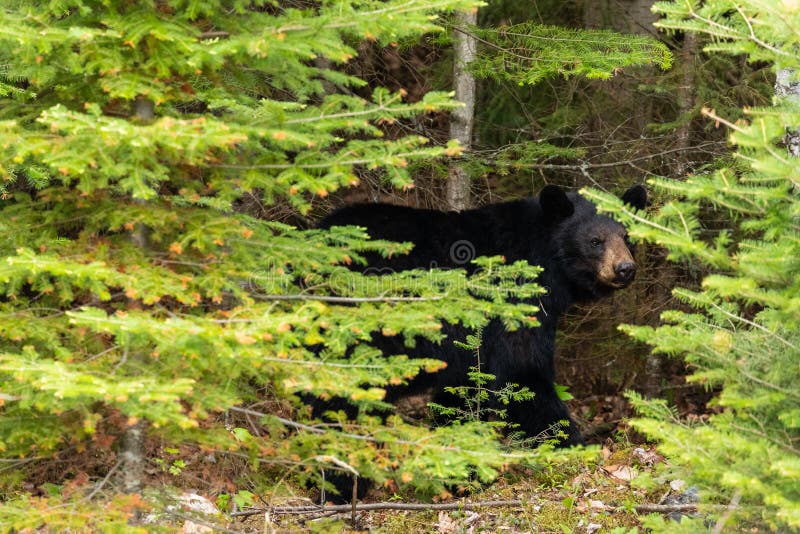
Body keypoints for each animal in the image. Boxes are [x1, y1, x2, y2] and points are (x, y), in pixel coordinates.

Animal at [318, 184, 647, 446]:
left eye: (626, 236)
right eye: (595, 240)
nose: (625, 269)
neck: (542, 260)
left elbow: (460, 387)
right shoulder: (514, 306)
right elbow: (522, 370)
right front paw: (570, 443)